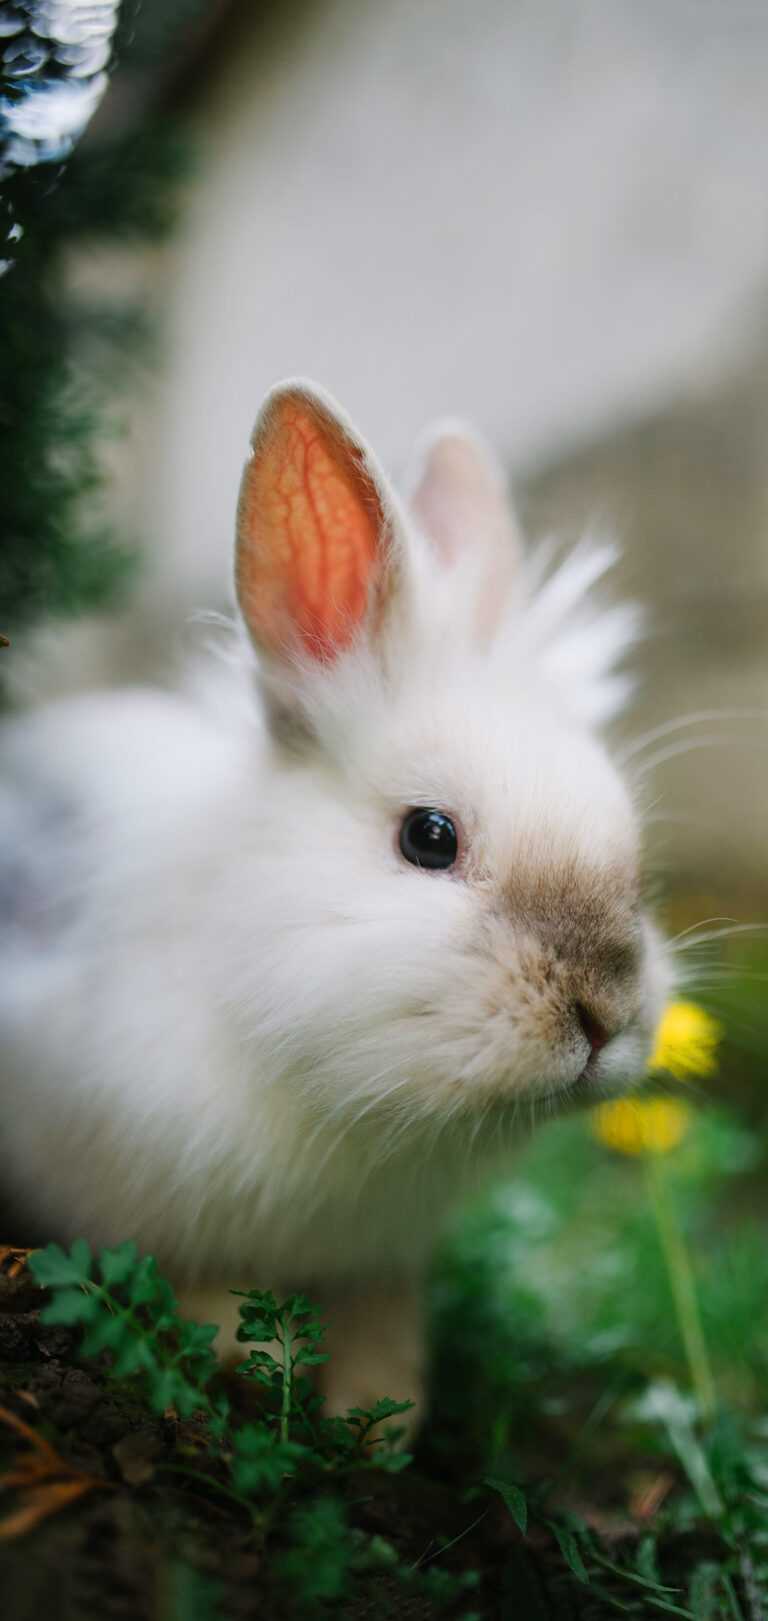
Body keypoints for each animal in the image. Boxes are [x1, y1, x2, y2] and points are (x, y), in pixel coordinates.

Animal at [0, 380, 669, 1429]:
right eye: (429, 837)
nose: (604, 1012)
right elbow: (202, 1293)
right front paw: (243, 1366)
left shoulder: (381, 1262)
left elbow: (378, 1328)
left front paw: (384, 1419)